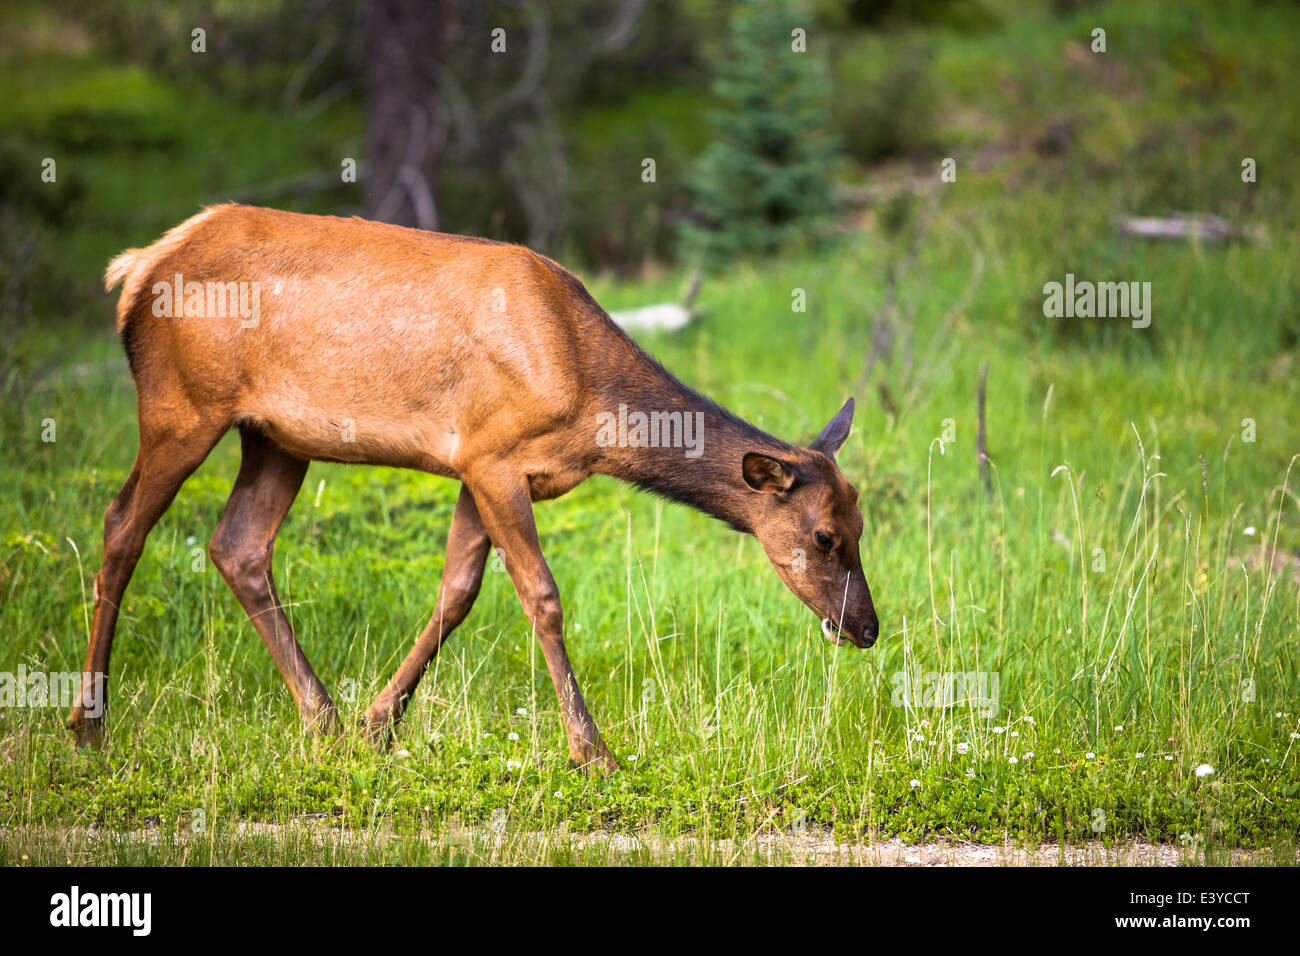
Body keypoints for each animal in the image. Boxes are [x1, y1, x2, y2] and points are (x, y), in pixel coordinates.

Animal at [70, 204, 879, 771]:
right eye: (823, 536)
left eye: (860, 528)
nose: (866, 627)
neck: (591, 405)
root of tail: (137, 269)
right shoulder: (492, 458)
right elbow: (542, 597)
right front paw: (593, 751)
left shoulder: (479, 470)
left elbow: (456, 593)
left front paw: (378, 724)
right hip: (181, 404)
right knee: (122, 524)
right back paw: (87, 723)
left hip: (273, 437)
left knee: (237, 546)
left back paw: (323, 718)